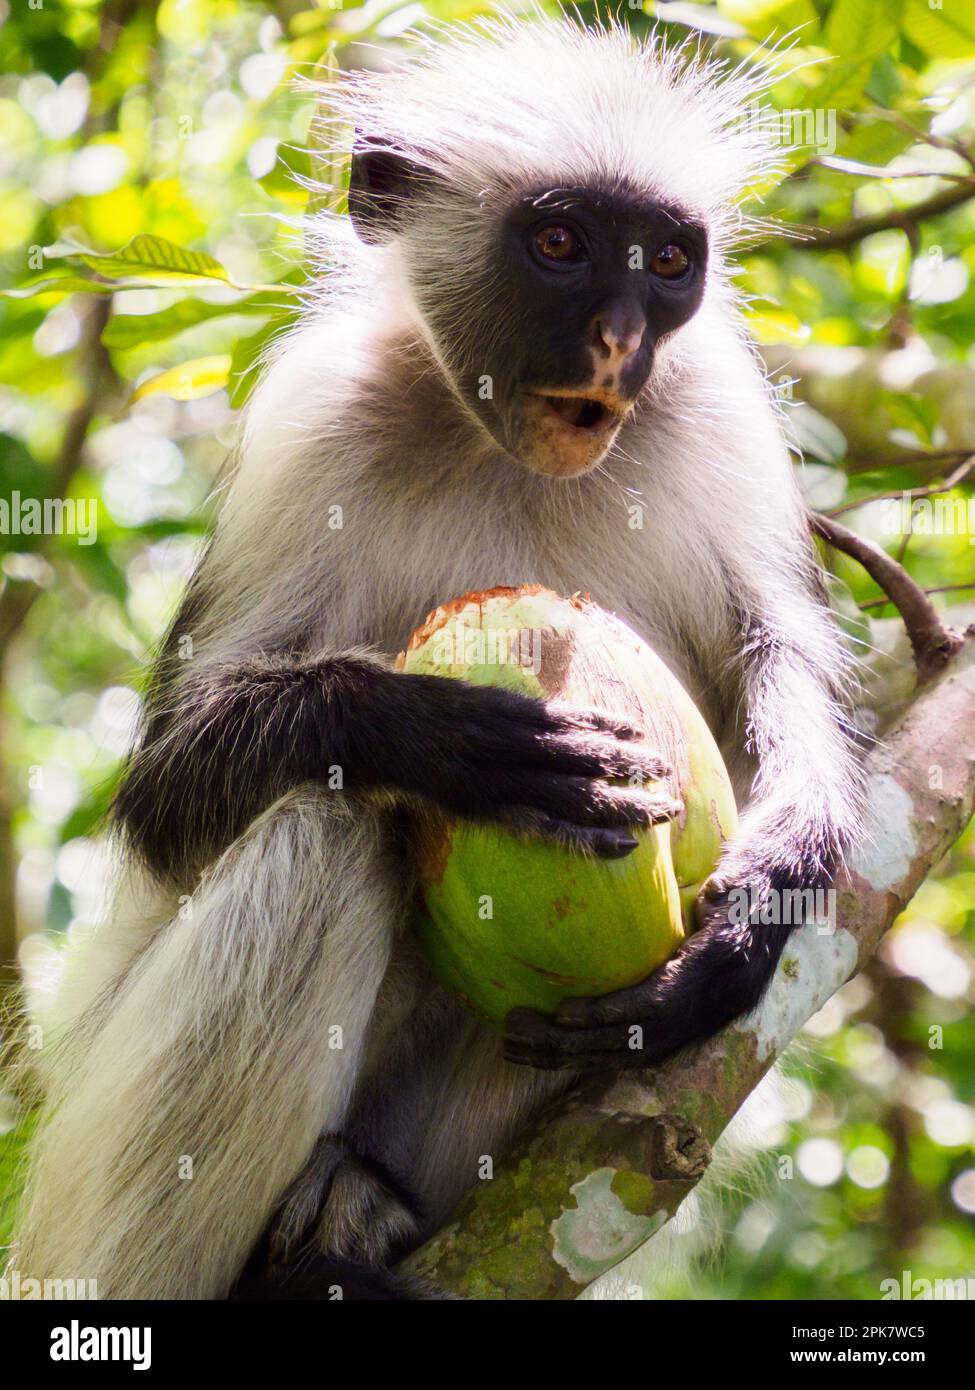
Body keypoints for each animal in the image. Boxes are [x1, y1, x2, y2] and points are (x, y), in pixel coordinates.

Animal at [10, 17, 863, 1300]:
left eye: (667, 261)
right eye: (560, 244)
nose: (619, 339)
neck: (507, 450)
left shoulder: (713, 404)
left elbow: (782, 648)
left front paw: (762, 902)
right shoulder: (311, 425)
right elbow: (165, 796)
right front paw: (430, 733)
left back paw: (353, 1210)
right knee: (325, 837)